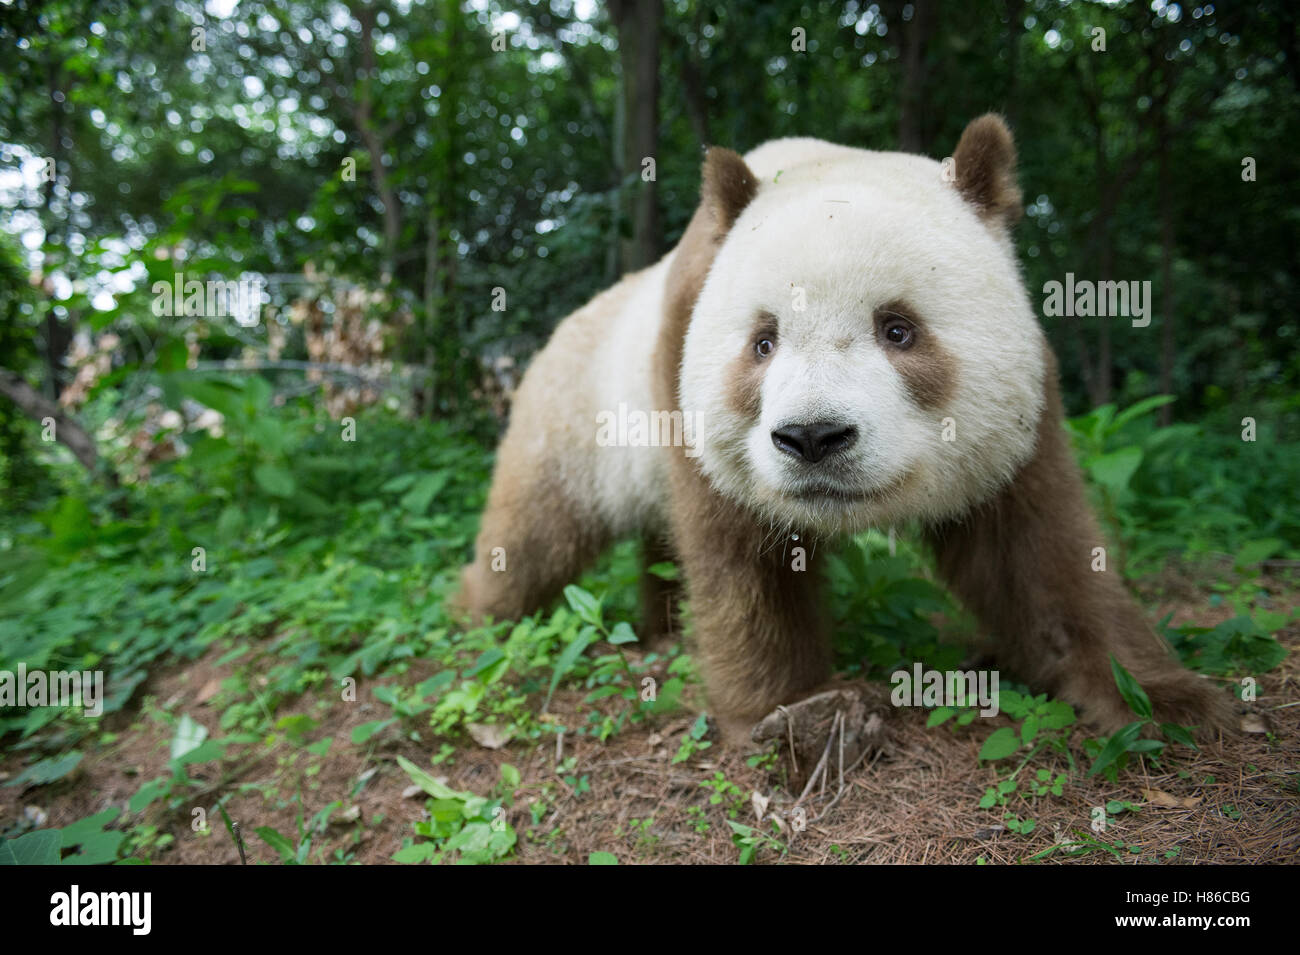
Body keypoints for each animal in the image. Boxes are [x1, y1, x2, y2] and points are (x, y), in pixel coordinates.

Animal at [453, 114, 1227, 746]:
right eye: (763, 341)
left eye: (898, 328)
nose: (813, 438)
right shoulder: (684, 383)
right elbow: (741, 561)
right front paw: (790, 704)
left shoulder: (1023, 412)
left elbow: (1036, 555)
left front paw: (1163, 697)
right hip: (575, 419)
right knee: (533, 535)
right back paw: (476, 618)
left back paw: (660, 628)